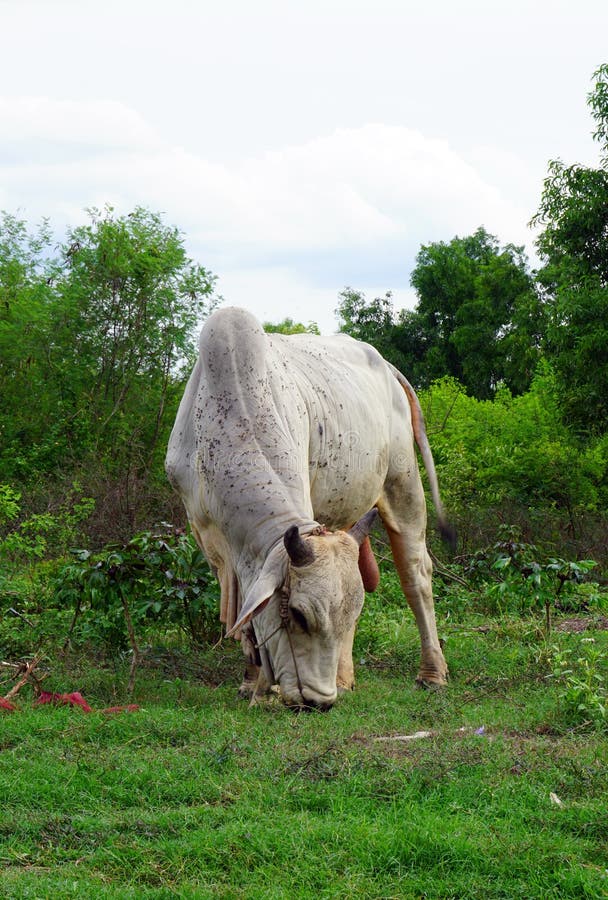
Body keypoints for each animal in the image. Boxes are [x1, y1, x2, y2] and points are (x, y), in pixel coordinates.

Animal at [165, 307, 453, 710]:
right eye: (299, 616)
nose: (319, 701)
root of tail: (385, 364)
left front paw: (261, 688)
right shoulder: (207, 536)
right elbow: (244, 614)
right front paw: (250, 682)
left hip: (403, 482)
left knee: (416, 575)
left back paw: (432, 674)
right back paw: (344, 678)